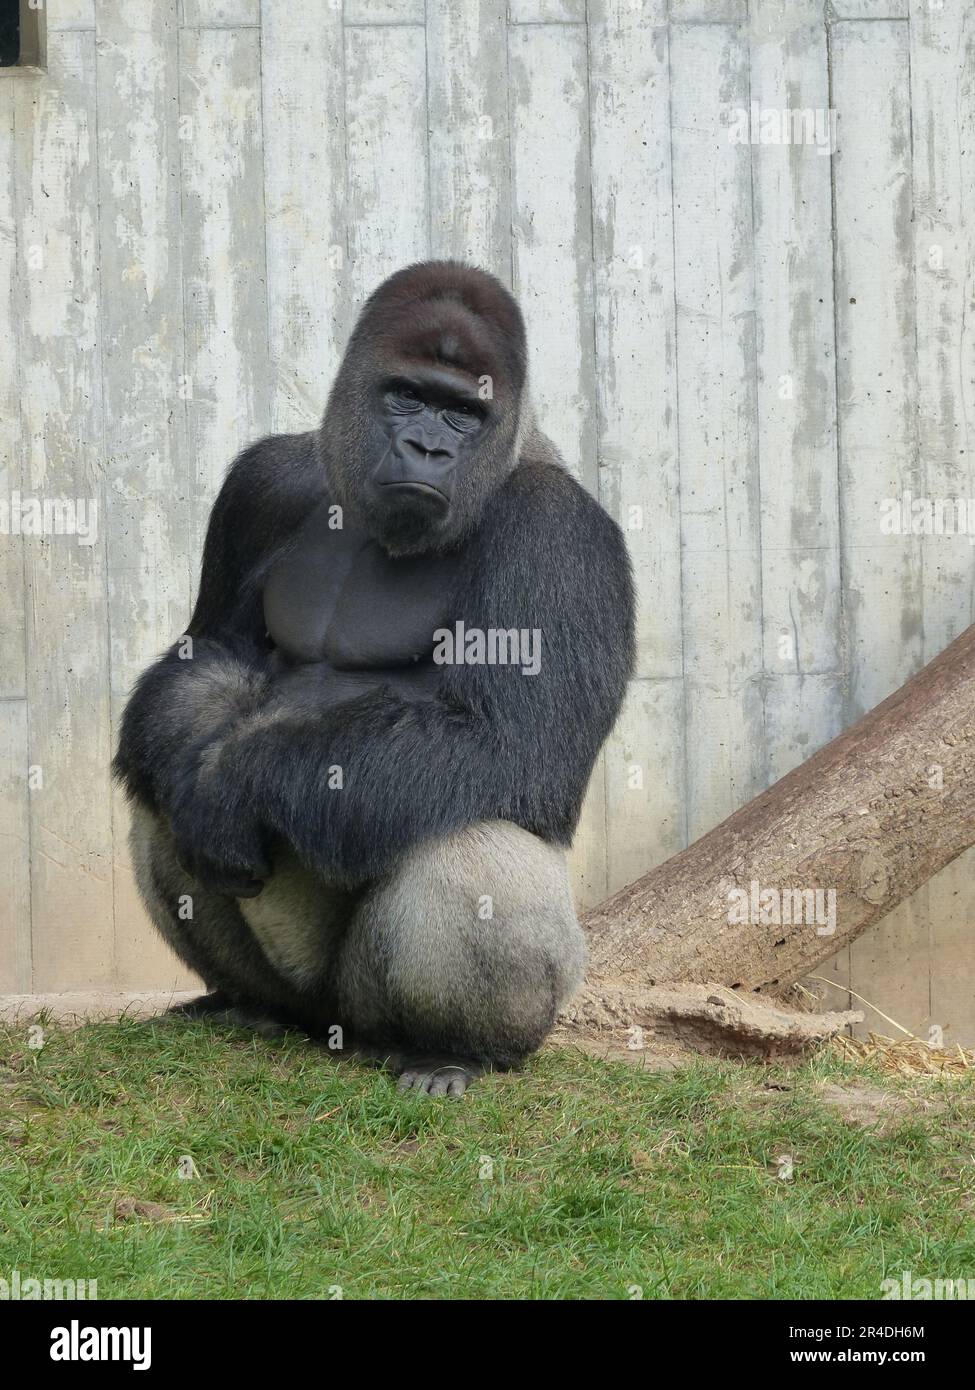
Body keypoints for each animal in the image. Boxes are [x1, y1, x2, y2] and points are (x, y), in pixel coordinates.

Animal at [114, 261, 635, 1096]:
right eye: (407, 396)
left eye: (463, 412)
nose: (427, 447)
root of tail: (332, 1028)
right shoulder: (263, 480)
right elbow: (204, 661)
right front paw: (208, 763)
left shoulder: (561, 532)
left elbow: (509, 745)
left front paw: (231, 786)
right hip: (302, 995)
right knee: (158, 793)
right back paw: (247, 1004)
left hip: (383, 1006)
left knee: (474, 851)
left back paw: (447, 1052)